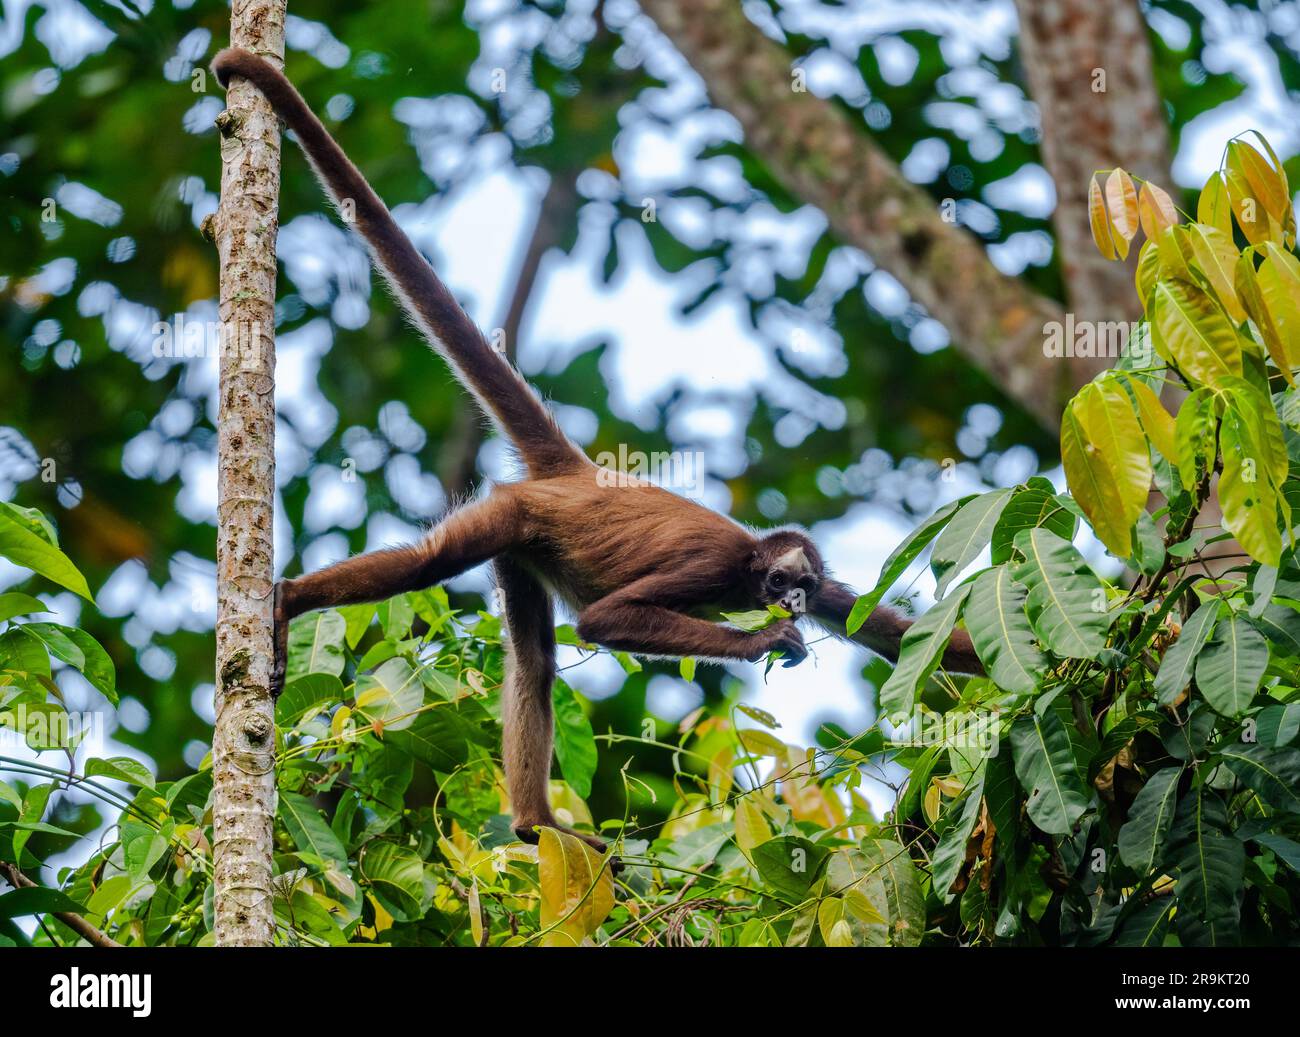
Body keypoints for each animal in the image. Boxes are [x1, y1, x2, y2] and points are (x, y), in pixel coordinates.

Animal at [212, 49, 984, 856]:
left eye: (807, 583)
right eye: (781, 582)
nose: (794, 599)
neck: (747, 566)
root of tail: (579, 473)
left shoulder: (833, 590)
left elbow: (907, 638)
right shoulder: (713, 566)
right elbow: (604, 620)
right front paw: (766, 639)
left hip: (523, 545)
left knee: (535, 664)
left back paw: (533, 822)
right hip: (512, 514)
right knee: (432, 567)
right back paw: (289, 600)